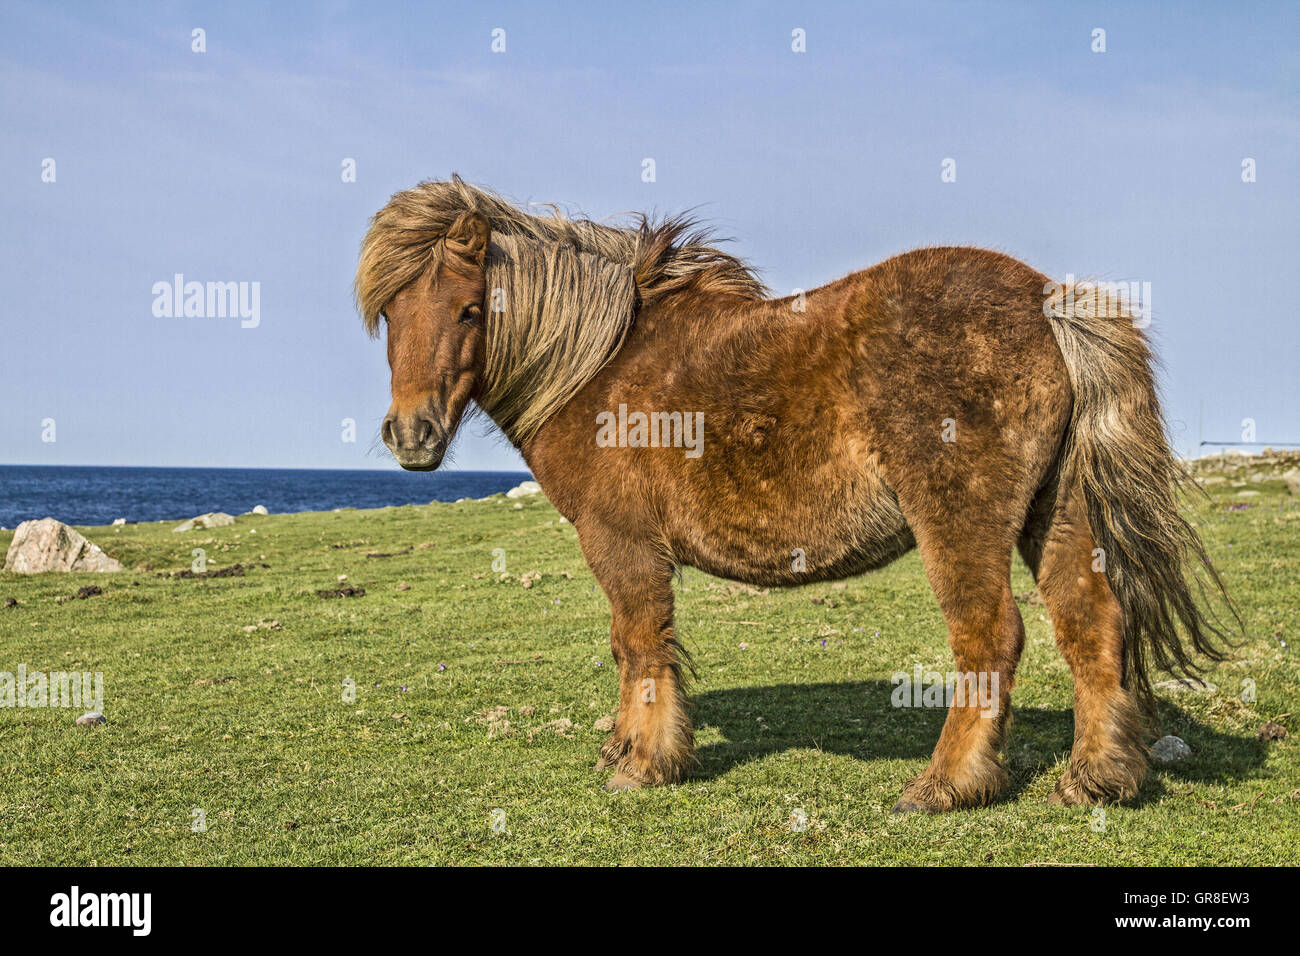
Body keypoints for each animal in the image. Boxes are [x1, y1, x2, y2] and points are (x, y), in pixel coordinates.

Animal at [354, 176, 1235, 811]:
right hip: (1058, 516)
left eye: (471, 309)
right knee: (1092, 629)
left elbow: (641, 646)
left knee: (991, 638)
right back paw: (1098, 779)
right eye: (392, 313)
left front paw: (644, 763)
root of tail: (1048, 302)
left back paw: (945, 786)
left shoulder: (621, 544)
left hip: (960, 523)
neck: (599, 365)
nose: (412, 436)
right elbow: (628, 648)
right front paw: (624, 748)